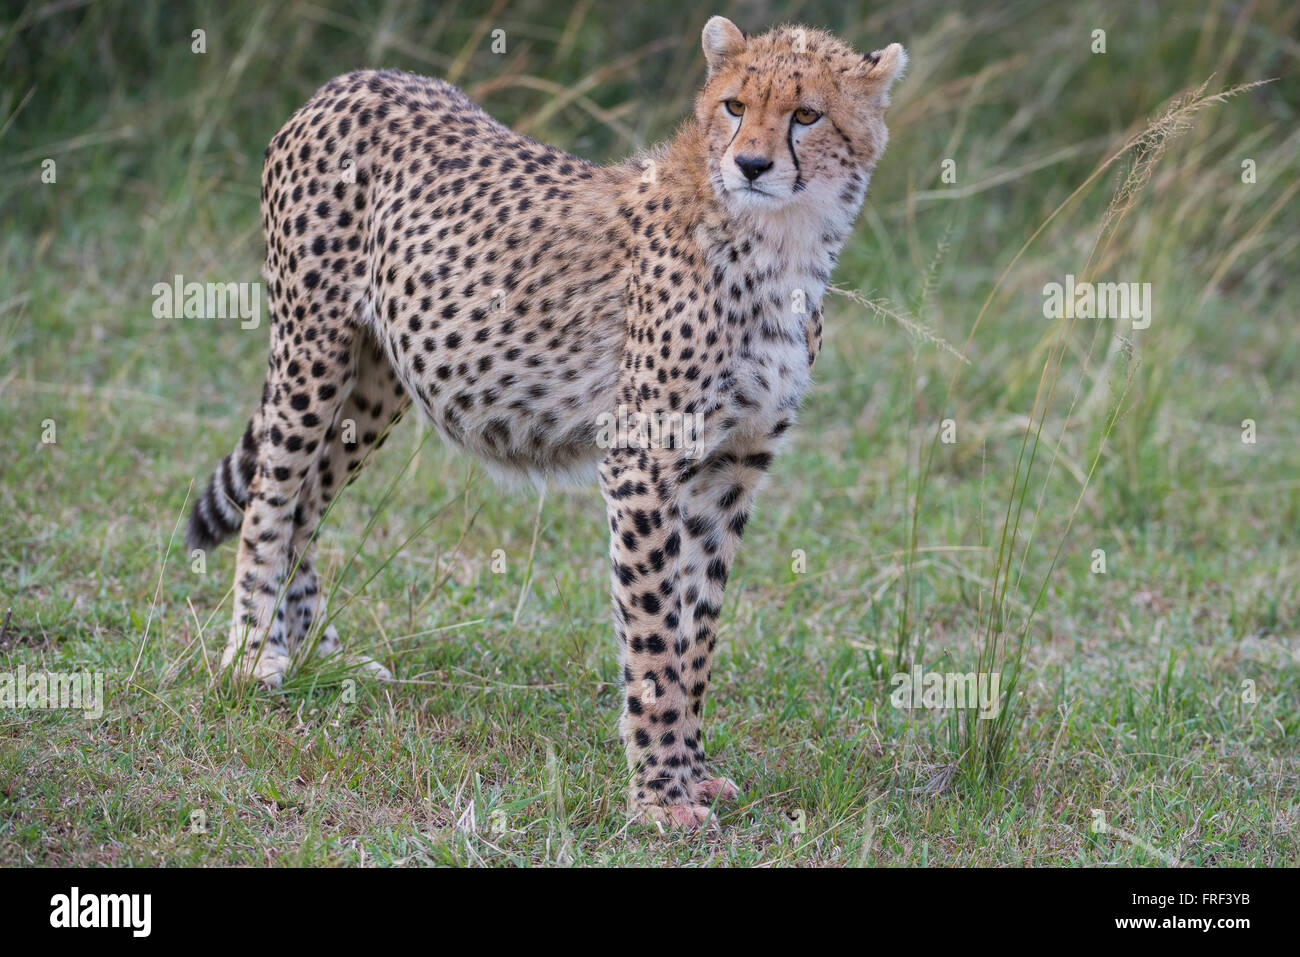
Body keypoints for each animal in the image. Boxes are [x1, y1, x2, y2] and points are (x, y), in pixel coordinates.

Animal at [184, 15, 906, 829]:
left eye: (806, 114)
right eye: (733, 105)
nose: (751, 163)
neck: (781, 243)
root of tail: (357, 77)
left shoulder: (730, 468)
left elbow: (696, 634)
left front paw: (695, 773)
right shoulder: (643, 459)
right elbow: (655, 635)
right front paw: (660, 796)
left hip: (377, 380)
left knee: (306, 499)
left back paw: (319, 654)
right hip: (313, 349)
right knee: (271, 499)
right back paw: (254, 654)